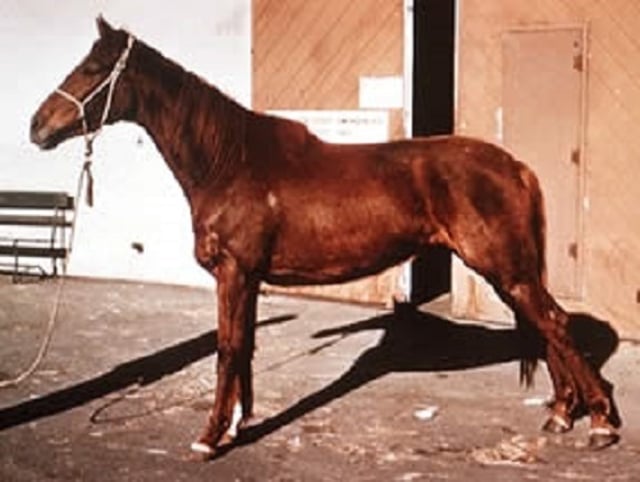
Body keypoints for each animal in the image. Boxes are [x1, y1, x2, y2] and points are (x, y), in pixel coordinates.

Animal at [30, 17, 620, 457]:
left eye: (93, 68)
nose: (37, 127)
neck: (230, 161)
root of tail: (515, 166)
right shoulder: (248, 278)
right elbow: (243, 346)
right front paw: (241, 423)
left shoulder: (234, 272)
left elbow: (227, 348)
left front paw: (210, 437)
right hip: (508, 274)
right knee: (547, 328)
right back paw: (562, 414)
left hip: (506, 268)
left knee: (556, 325)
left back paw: (599, 423)